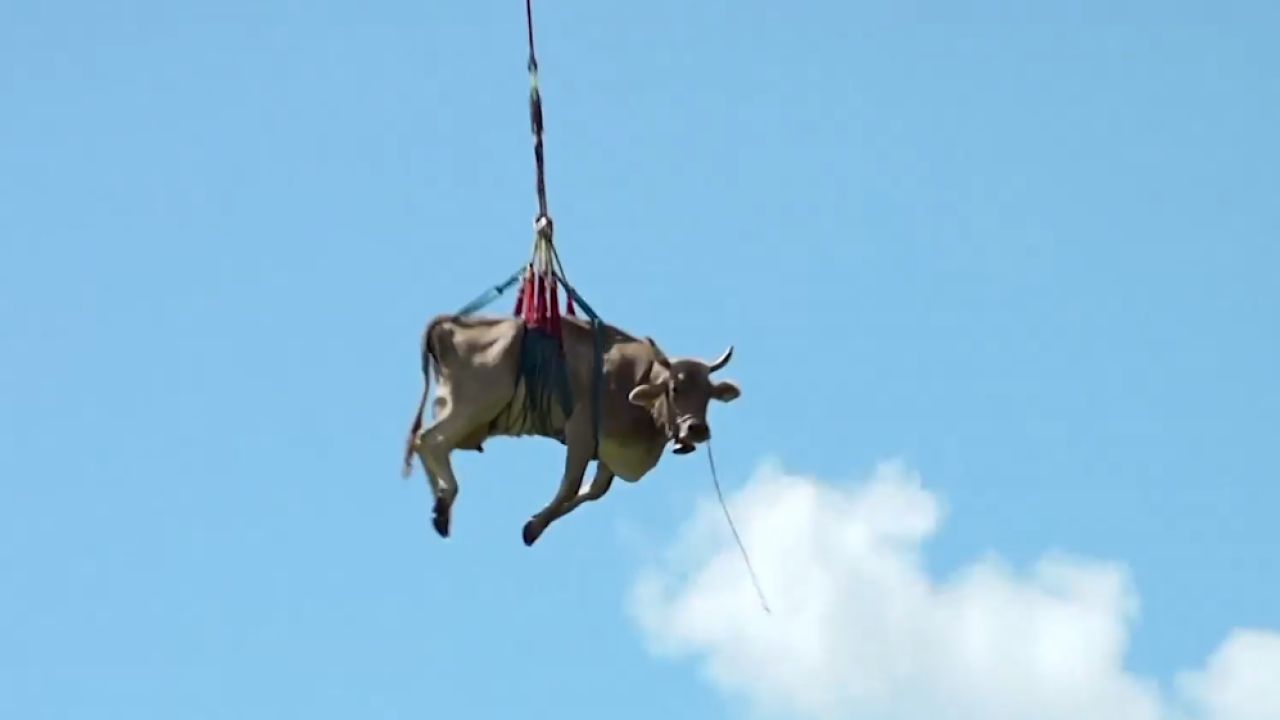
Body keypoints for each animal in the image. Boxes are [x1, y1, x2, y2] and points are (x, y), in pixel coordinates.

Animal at [401, 312, 741, 546]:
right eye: (674, 389)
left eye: (708, 394)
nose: (696, 429)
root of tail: (450, 323)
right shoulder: (581, 433)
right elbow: (571, 486)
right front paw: (533, 528)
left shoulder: (608, 450)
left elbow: (594, 491)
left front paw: (537, 522)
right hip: (474, 405)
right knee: (431, 440)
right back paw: (445, 500)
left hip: (458, 410)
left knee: (425, 442)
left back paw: (441, 505)